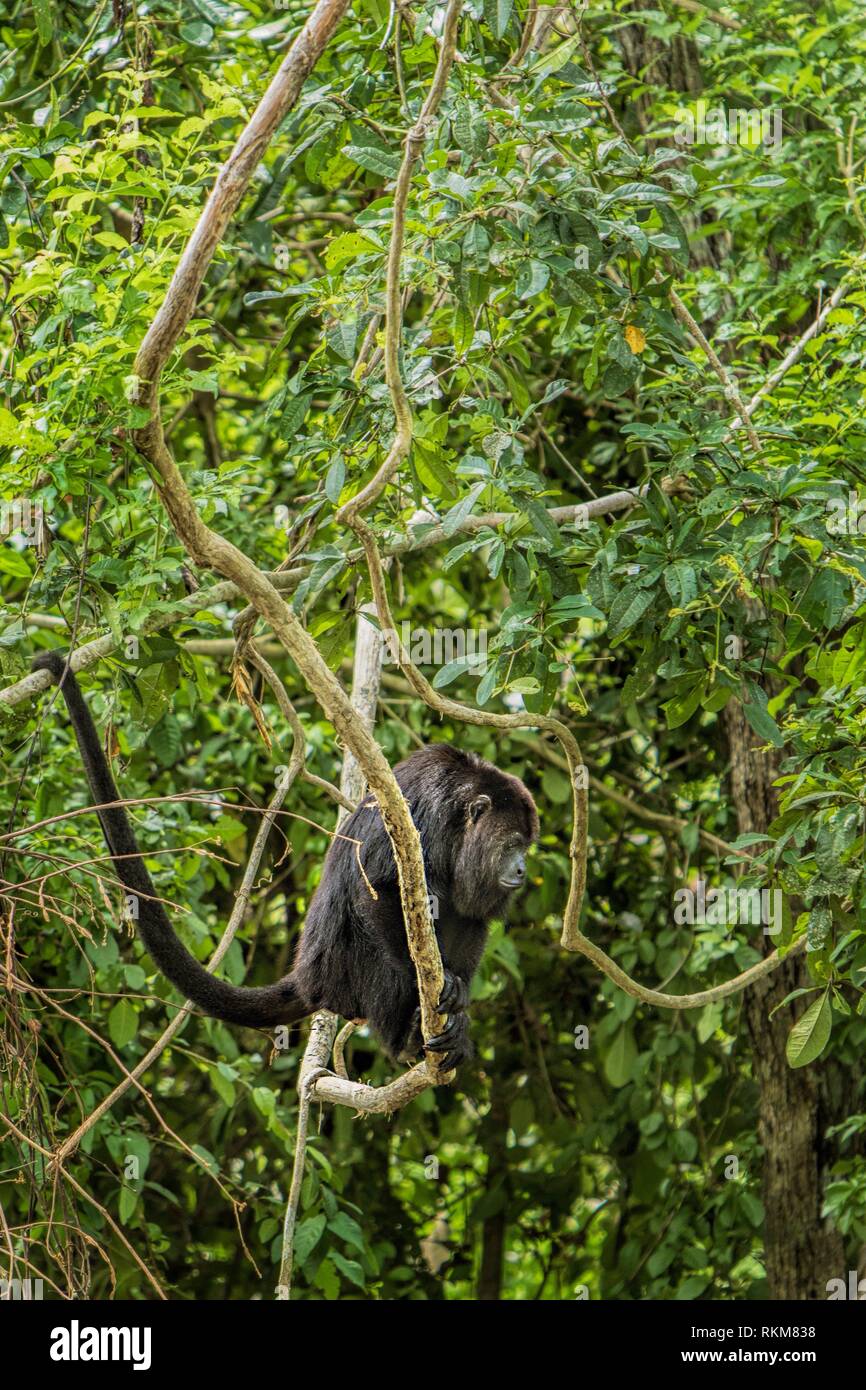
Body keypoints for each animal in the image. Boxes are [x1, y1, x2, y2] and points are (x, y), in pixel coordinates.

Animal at [32, 650, 539, 1070]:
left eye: (527, 847)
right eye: (513, 841)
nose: (522, 869)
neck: (457, 815)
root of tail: (311, 978)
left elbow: (472, 918)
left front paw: (459, 997)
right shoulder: (421, 814)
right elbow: (378, 888)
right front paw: (430, 988)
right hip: (347, 976)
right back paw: (406, 1038)